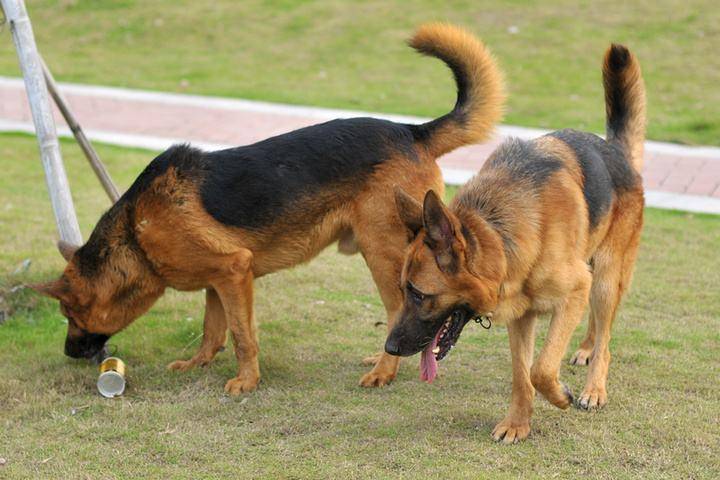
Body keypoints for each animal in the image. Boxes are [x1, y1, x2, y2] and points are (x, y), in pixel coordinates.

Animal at [31, 23, 506, 394]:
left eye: (69, 314)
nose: (68, 352)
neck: (136, 230)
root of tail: (412, 132)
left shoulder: (235, 272)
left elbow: (242, 336)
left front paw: (246, 382)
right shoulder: (218, 280)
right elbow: (212, 330)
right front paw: (198, 364)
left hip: (385, 256)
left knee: (396, 314)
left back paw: (385, 371)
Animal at [388, 45, 648, 442]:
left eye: (418, 294)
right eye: (403, 290)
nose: (389, 347)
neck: (500, 232)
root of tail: (616, 151)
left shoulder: (574, 291)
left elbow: (541, 368)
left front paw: (560, 396)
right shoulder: (521, 315)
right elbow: (522, 374)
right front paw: (517, 424)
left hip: (604, 278)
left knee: (605, 337)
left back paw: (593, 388)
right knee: (595, 331)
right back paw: (584, 350)